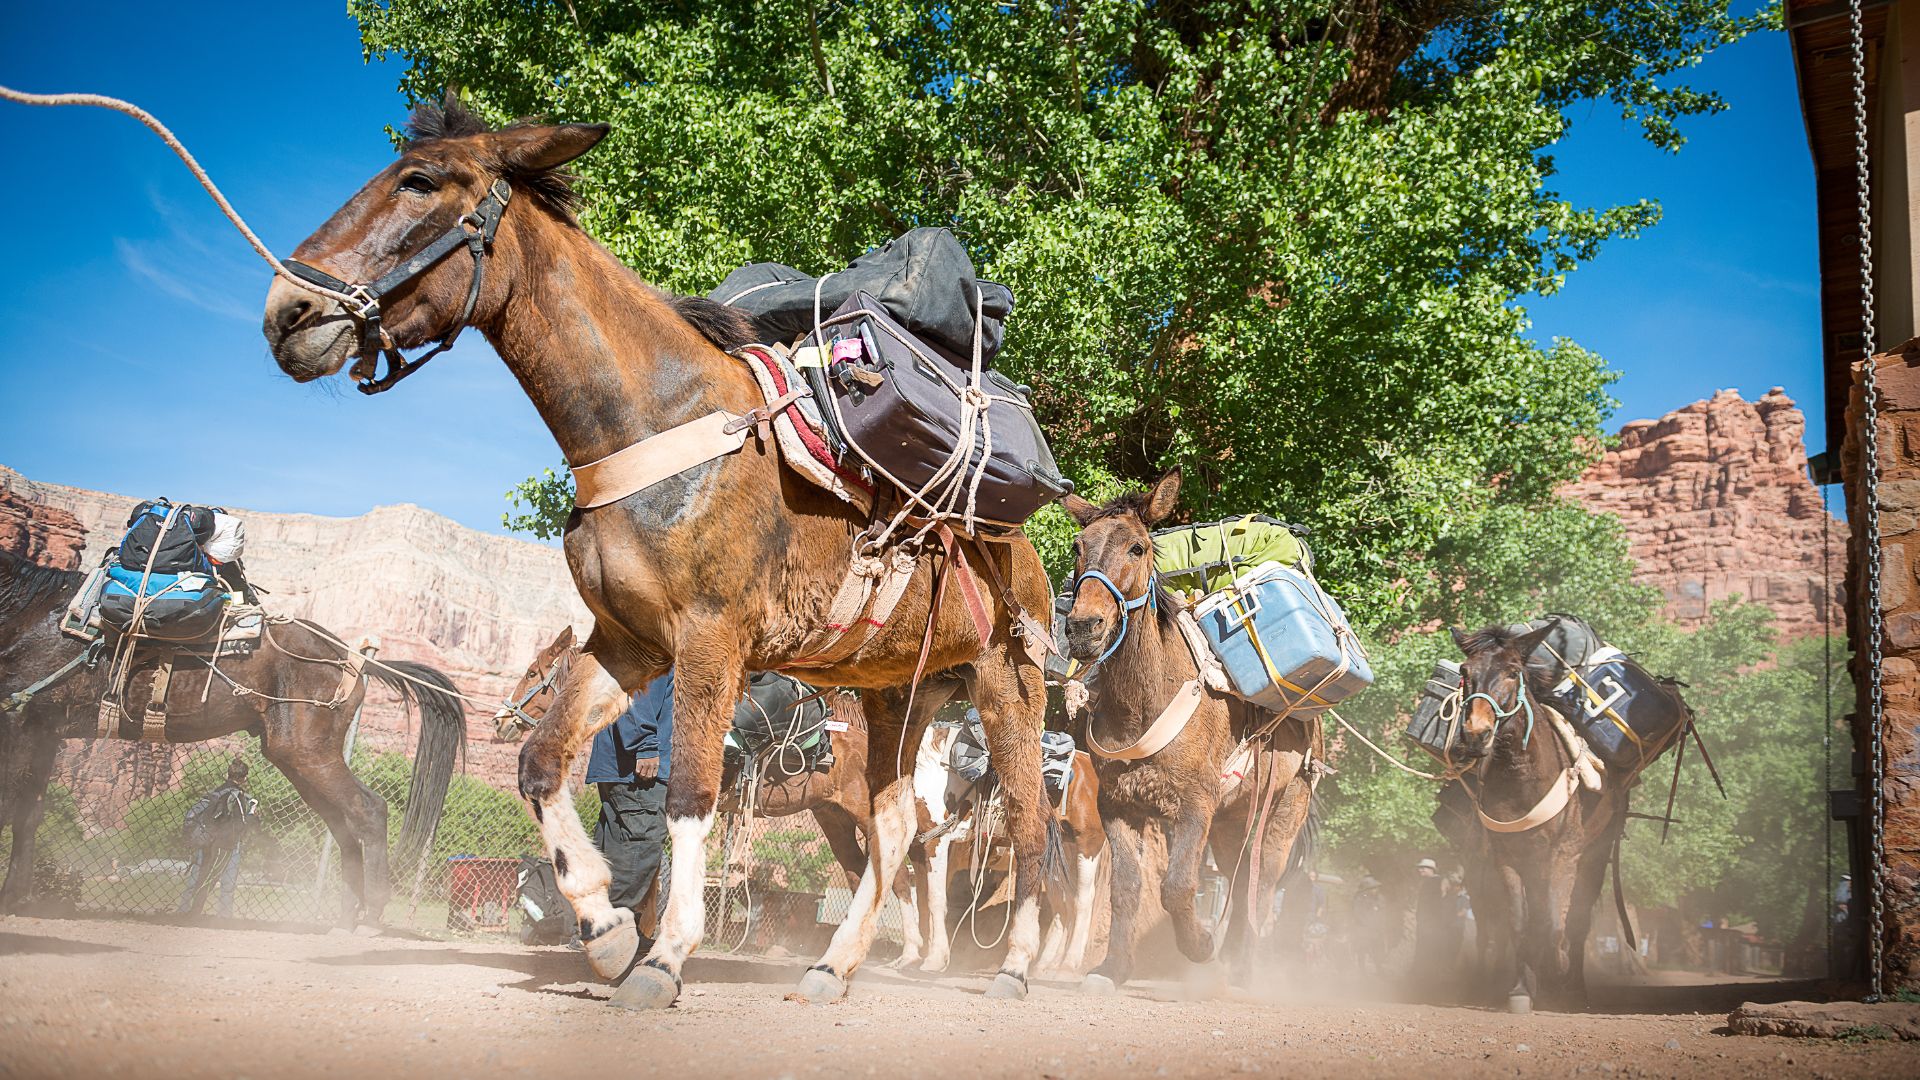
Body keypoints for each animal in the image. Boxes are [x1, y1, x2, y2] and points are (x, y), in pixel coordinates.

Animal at [0, 548, 466, 926]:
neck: (32, 613)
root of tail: (350, 655)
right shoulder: (44, 731)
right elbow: (29, 813)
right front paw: (17, 896)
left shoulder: (21, 721)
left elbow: (13, 808)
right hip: (294, 757)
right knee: (342, 823)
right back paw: (346, 915)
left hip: (309, 753)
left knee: (368, 810)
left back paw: (370, 913)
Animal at [263, 97, 1055, 1008]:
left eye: (420, 181)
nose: (287, 314)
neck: (658, 419)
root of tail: (1026, 552)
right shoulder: (629, 642)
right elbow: (541, 764)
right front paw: (603, 929)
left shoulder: (711, 637)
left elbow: (687, 796)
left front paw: (665, 956)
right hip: (896, 695)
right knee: (893, 829)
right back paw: (832, 965)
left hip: (1009, 687)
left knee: (1029, 830)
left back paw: (1014, 969)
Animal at [896, 724, 1106, 977]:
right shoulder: (918, 850)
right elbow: (922, 900)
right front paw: (920, 956)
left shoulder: (936, 842)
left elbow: (935, 899)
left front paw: (934, 959)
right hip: (1058, 858)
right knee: (1062, 907)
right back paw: (1045, 965)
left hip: (1088, 846)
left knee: (1082, 900)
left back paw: (1069, 964)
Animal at [1061, 471, 1321, 992]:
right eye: (1079, 546)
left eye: (1137, 547)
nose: (1083, 627)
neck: (1144, 702)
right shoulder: (1117, 805)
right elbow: (1126, 888)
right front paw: (1114, 967)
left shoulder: (1196, 805)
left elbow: (1177, 886)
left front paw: (1199, 945)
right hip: (1232, 822)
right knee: (1240, 882)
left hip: (1282, 811)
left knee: (1261, 887)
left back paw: (1244, 970)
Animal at [1448, 622, 1629, 1013]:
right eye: (1465, 671)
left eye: (1513, 671)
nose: (1476, 735)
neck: (1521, 777)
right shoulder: (1505, 856)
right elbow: (1519, 923)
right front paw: (1519, 989)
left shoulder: (1564, 854)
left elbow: (1556, 922)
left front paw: (1556, 975)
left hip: (1594, 856)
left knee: (1578, 920)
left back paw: (1573, 987)